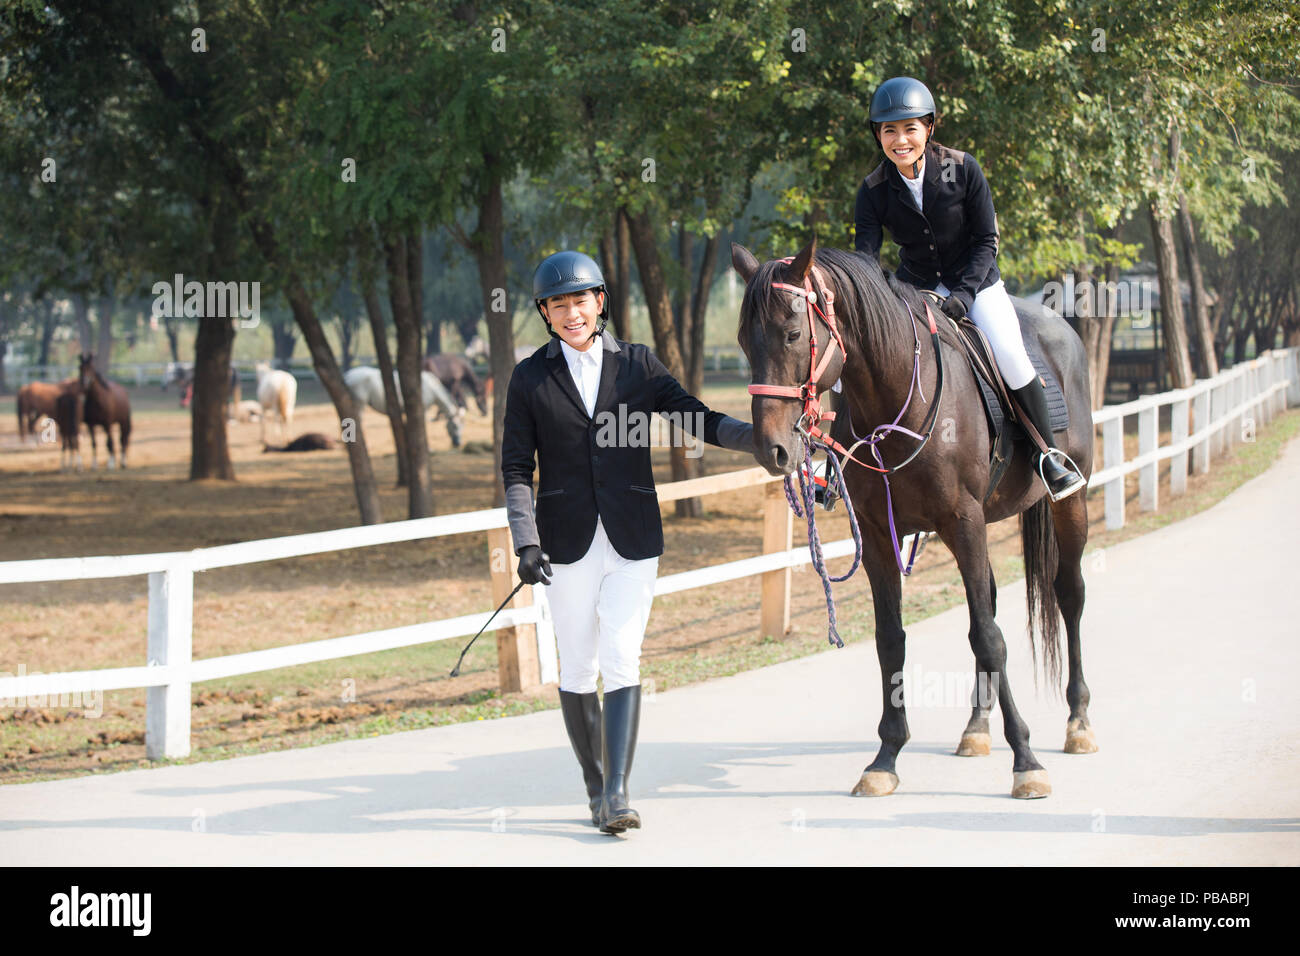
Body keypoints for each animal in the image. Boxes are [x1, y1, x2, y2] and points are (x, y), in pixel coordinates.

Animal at [732, 239, 1097, 800]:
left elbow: (989, 638)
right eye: (743, 343)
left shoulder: (963, 522)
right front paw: (885, 757)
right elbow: (892, 639)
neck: (899, 392)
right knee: (992, 603)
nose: (772, 450)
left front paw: (1026, 760)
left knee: (1068, 594)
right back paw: (976, 727)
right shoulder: (880, 536)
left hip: (1068, 505)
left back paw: (1077, 720)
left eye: (793, 334)